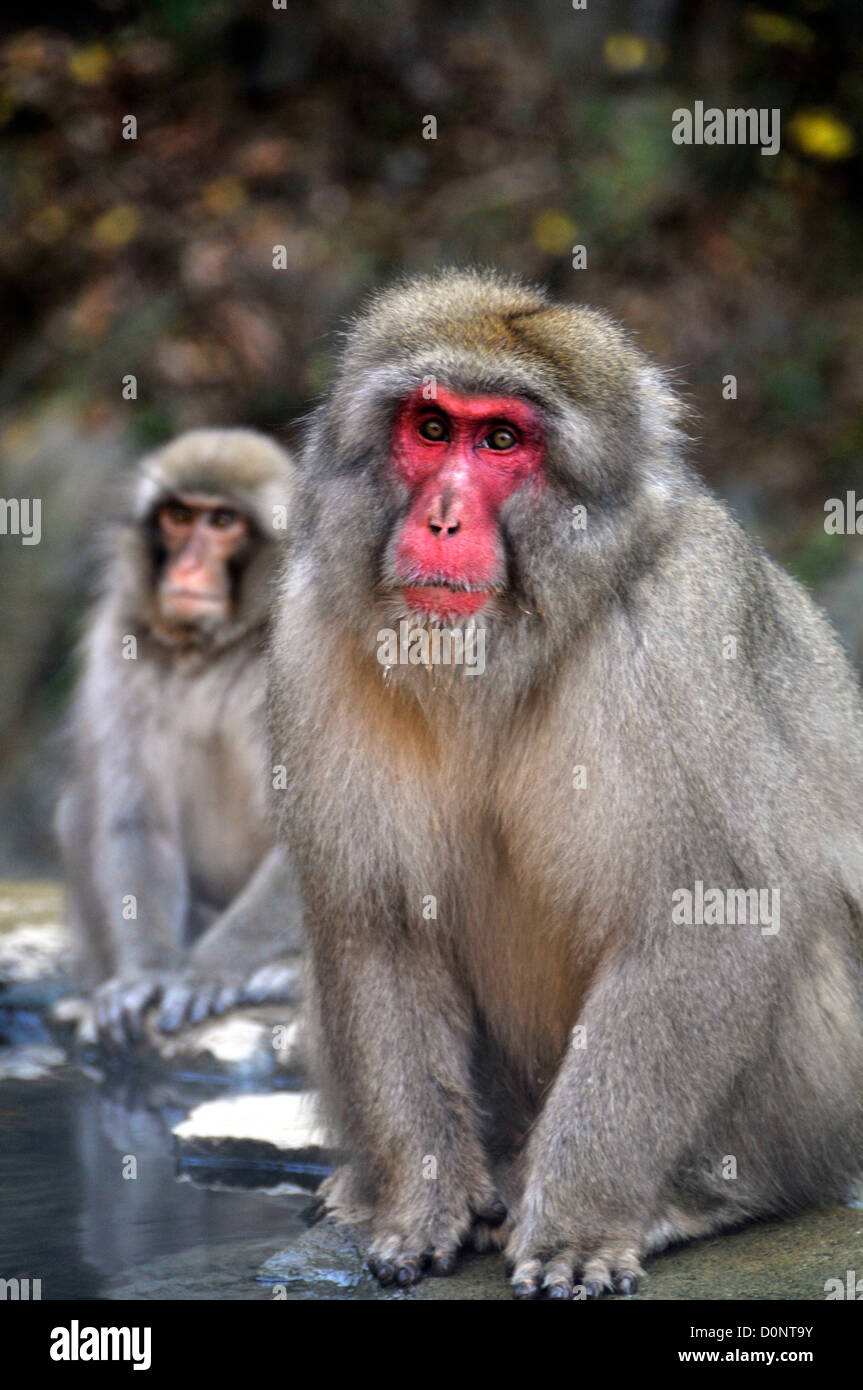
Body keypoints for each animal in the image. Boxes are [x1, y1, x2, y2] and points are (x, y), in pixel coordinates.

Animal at [57, 428, 304, 1050]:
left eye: (222, 521)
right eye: (177, 516)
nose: (188, 566)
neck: (215, 646)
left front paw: (206, 973)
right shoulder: (119, 637)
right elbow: (135, 821)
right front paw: (146, 976)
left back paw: (286, 972)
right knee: (79, 808)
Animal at [268, 267, 863, 1299]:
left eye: (501, 441)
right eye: (432, 428)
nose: (441, 517)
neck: (508, 647)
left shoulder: (675, 629)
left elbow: (707, 909)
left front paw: (583, 1218)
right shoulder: (313, 631)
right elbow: (376, 920)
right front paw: (423, 1200)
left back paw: (704, 1197)